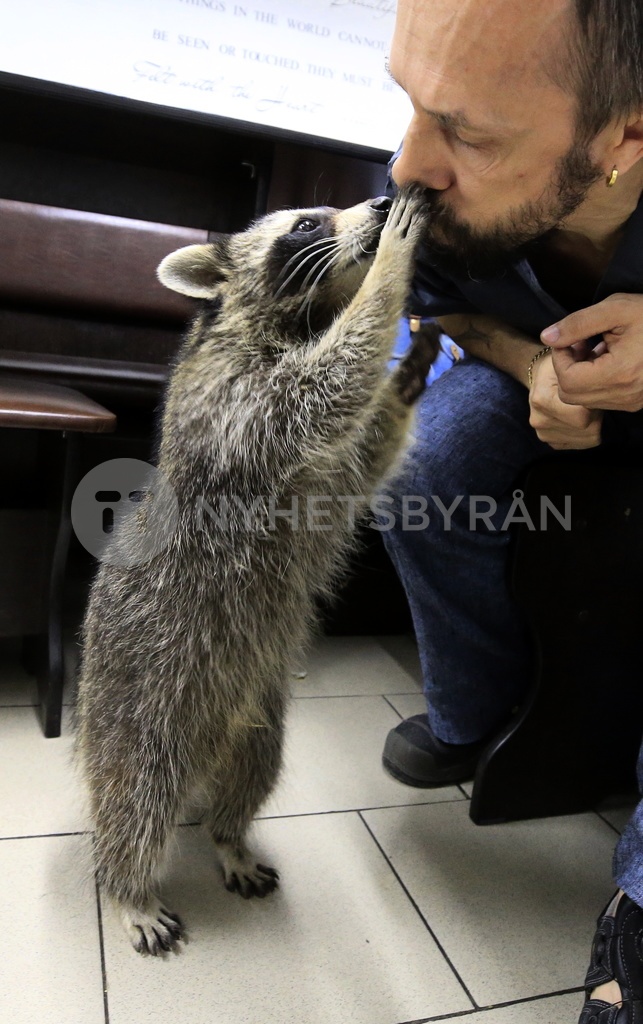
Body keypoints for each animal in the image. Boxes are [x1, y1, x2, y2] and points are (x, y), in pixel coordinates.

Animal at [76, 185, 438, 955]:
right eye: (304, 223)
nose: (381, 197)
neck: (299, 315)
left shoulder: (321, 470)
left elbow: (359, 456)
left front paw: (405, 377)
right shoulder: (236, 402)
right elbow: (326, 386)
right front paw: (392, 265)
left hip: (256, 725)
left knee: (249, 779)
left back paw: (228, 838)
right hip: (137, 715)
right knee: (134, 807)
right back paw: (127, 889)